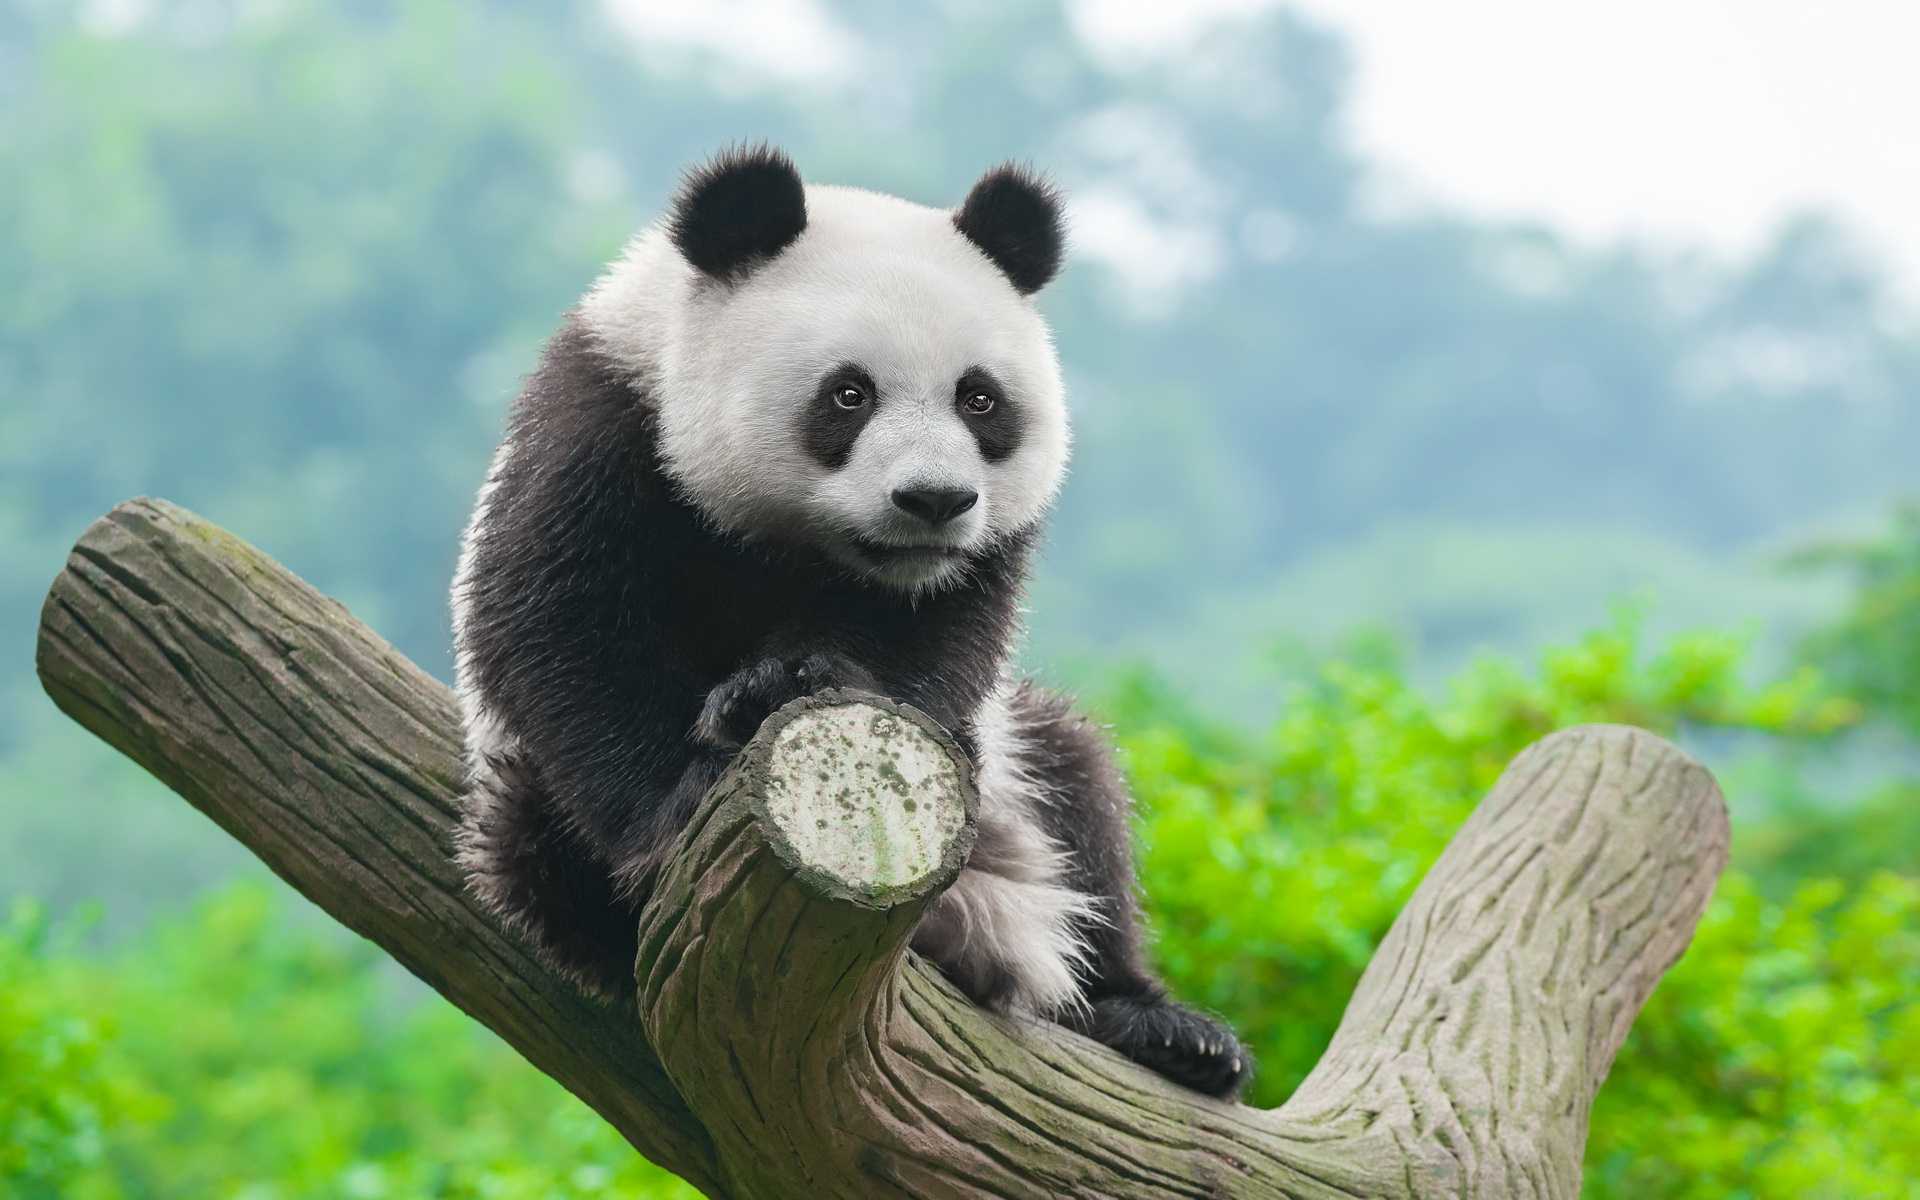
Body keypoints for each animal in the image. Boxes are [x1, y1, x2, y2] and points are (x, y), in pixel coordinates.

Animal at [451, 144, 1248, 1098]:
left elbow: (936, 642)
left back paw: (1164, 1030)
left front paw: (790, 679)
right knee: (535, 847)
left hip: (1016, 785)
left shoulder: (968, 566)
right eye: (849, 395)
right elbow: (561, 628)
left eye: (979, 400)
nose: (933, 500)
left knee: (1079, 790)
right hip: (520, 799)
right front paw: (685, 792)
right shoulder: (605, 425)